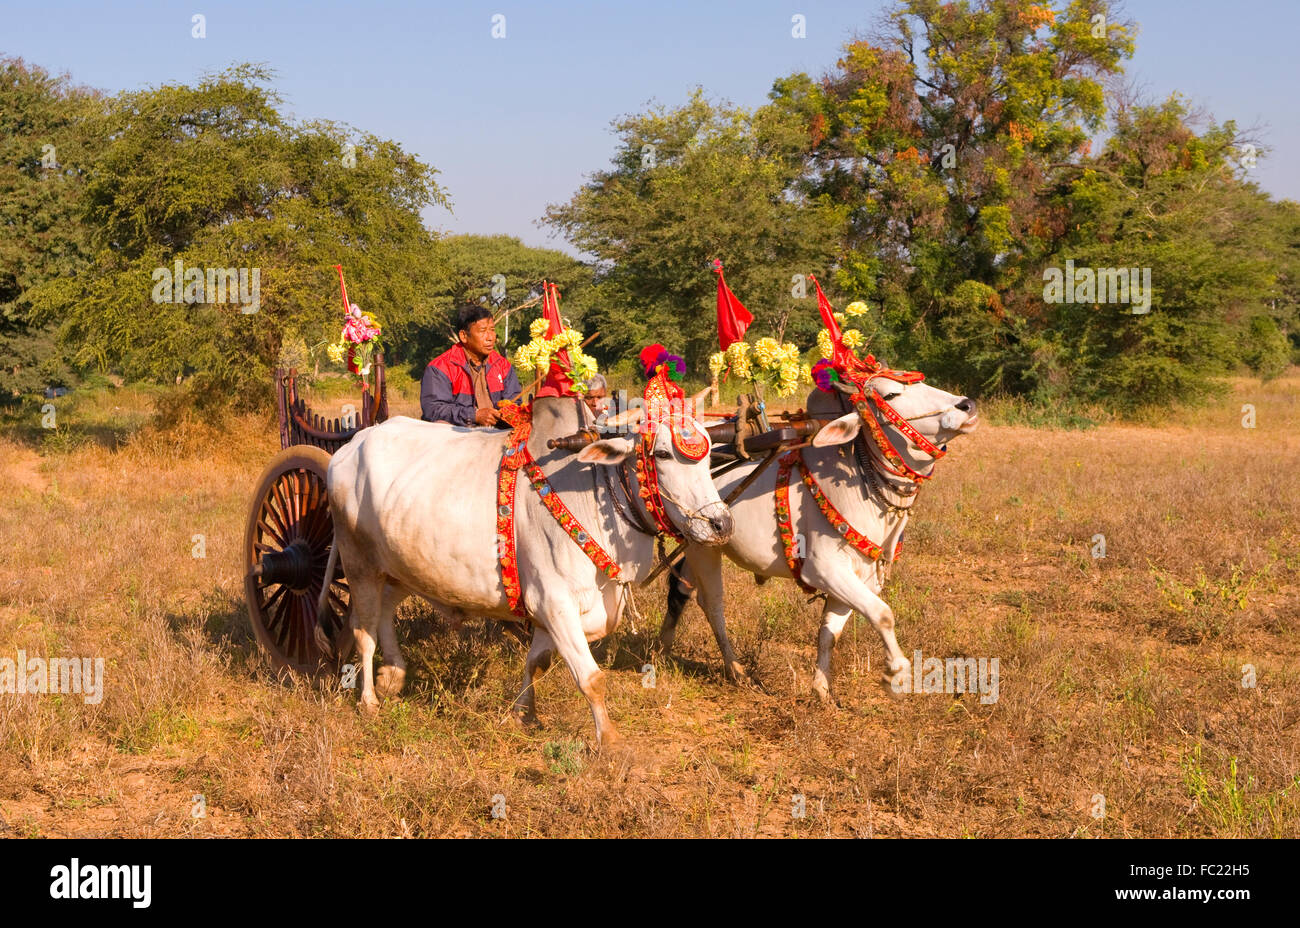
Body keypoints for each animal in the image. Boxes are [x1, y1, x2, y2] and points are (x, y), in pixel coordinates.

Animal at [323, 395, 732, 748]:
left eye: (710, 449)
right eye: (661, 453)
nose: (720, 524)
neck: (596, 493)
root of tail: (348, 448)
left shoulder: (548, 611)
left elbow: (537, 662)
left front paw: (525, 714)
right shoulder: (555, 603)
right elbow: (591, 678)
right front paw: (610, 741)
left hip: (399, 568)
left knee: (385, 612)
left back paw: (392, 675)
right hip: (360, 566)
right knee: (363, 631)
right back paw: (369, 700)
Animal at [658, 371, 977, 702]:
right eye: (890, 395)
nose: (966, 405)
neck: (863, 485)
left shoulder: (861, 578)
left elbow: (829, 633)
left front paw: (822, 691)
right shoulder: (825, 569)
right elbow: (883, 614)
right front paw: (897, 674)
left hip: (699, 547)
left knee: (680, 589)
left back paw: (662, 650)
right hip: (703, 549)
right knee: (712, 603)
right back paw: (735, 669)